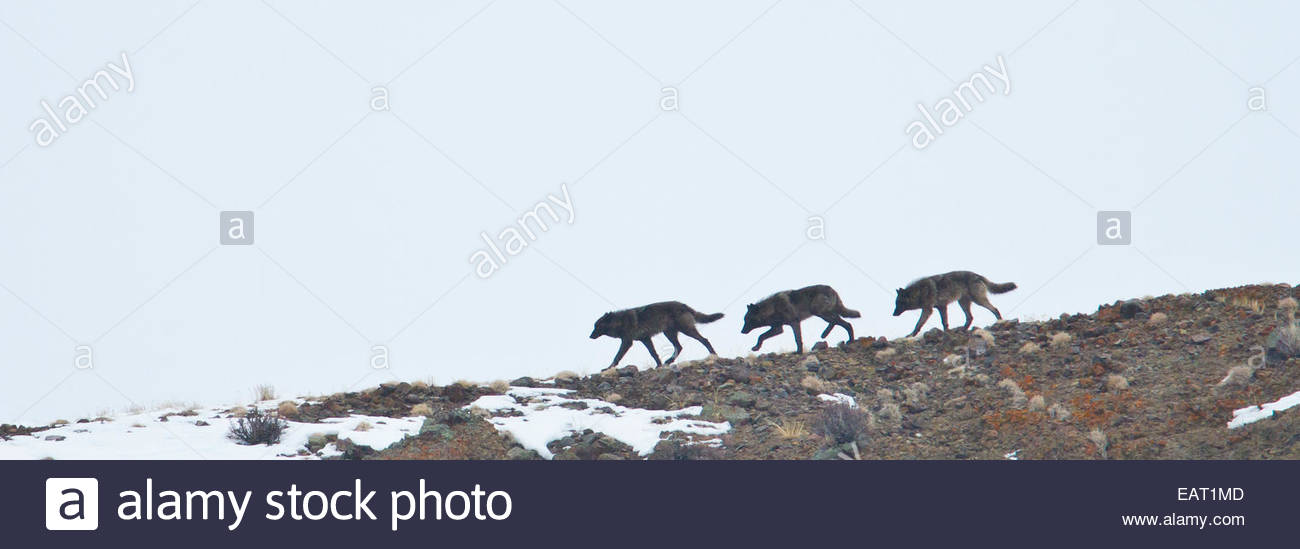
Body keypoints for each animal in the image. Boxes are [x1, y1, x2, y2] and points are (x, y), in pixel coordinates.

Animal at [589, 301, 723, 368]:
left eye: (597, 326)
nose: (590, 336)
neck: (620, 321)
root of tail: (684, 305)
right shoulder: (645, 339)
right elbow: (653, 353)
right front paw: (659, 365)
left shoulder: (627, 342)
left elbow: (617, 356)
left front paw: (608, 368)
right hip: (669, 333)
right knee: (679, 347)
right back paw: (669, 361)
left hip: (685, 330)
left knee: (704, 340)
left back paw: (713, 354)